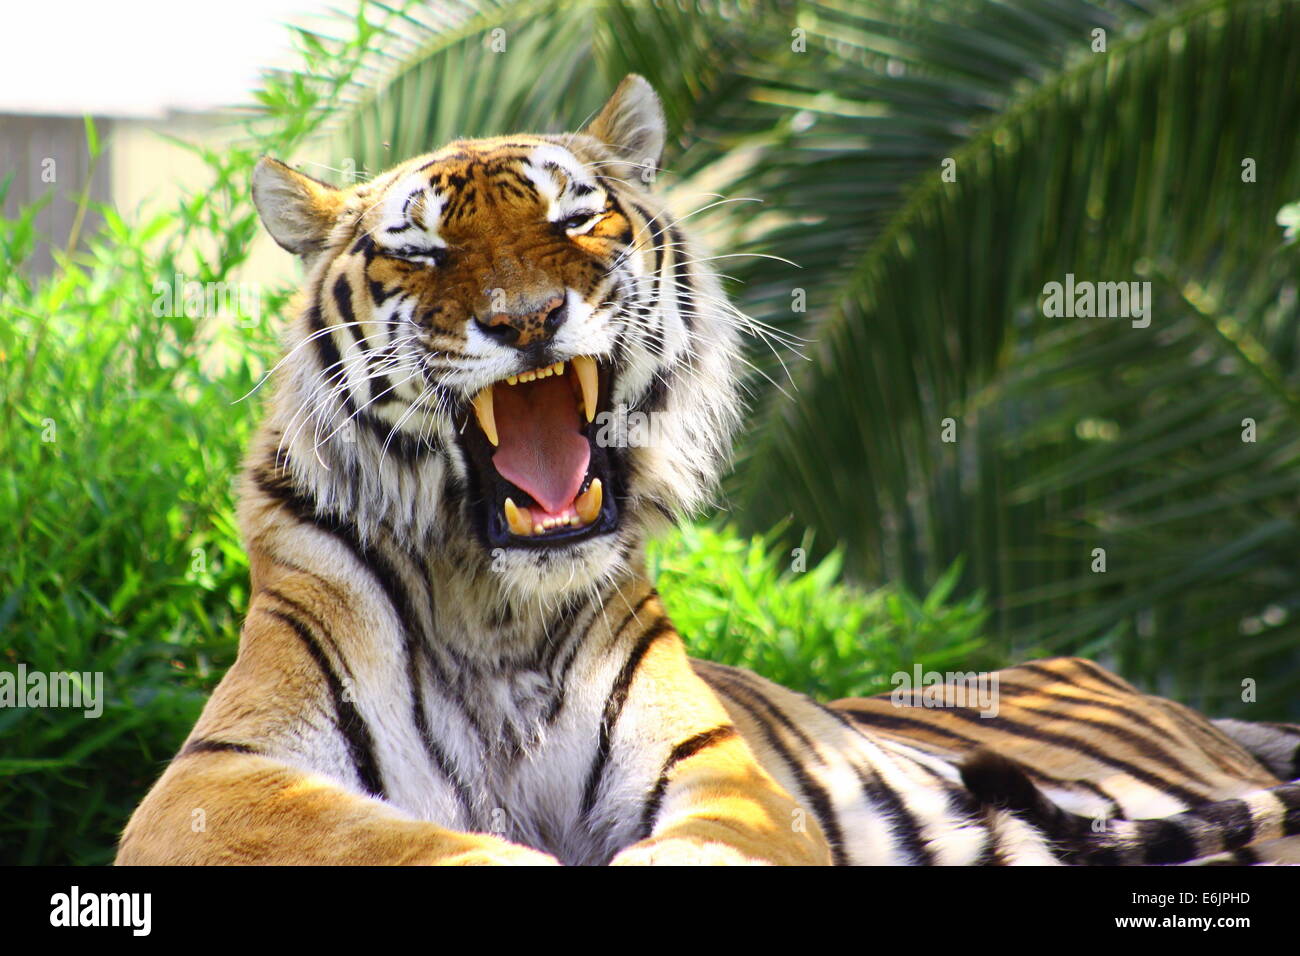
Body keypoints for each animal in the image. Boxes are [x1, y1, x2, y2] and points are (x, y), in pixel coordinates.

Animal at [115, 75, 1300, 866]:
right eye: (421, 251)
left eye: (576, 215)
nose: (527, 320)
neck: (494, 606)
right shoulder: (216, 779)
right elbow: (411, 844)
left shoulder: (722, 772)